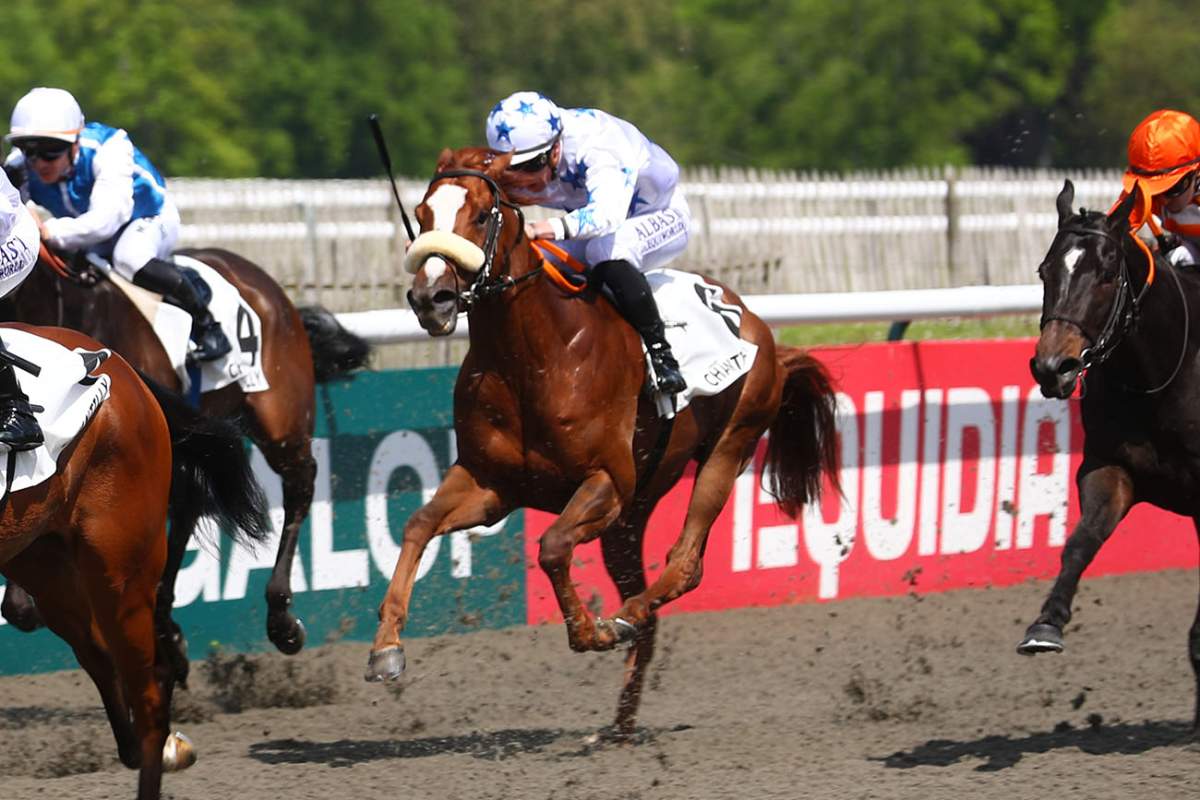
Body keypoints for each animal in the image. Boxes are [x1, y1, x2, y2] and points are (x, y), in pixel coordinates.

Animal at [363, 147, 840, 734]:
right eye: (423, 214)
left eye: (478, 215)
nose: (432, 297)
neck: (534, 356)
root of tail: (754, 322)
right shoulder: (491, 484)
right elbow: (418, 524)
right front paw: (386, 646)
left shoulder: (606, 482)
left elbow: (552, 547)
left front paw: (590, 630)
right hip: (633, 513)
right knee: (650, 604)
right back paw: (619, 721)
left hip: (730, 444)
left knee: (683, 564)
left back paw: (623, 620)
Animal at [1023, 179, 1200, 730]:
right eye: (1045, 271)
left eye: (1105, 275)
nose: (1053, 366)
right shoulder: (1110, 469)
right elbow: (1081, 542)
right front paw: (1046, 624)